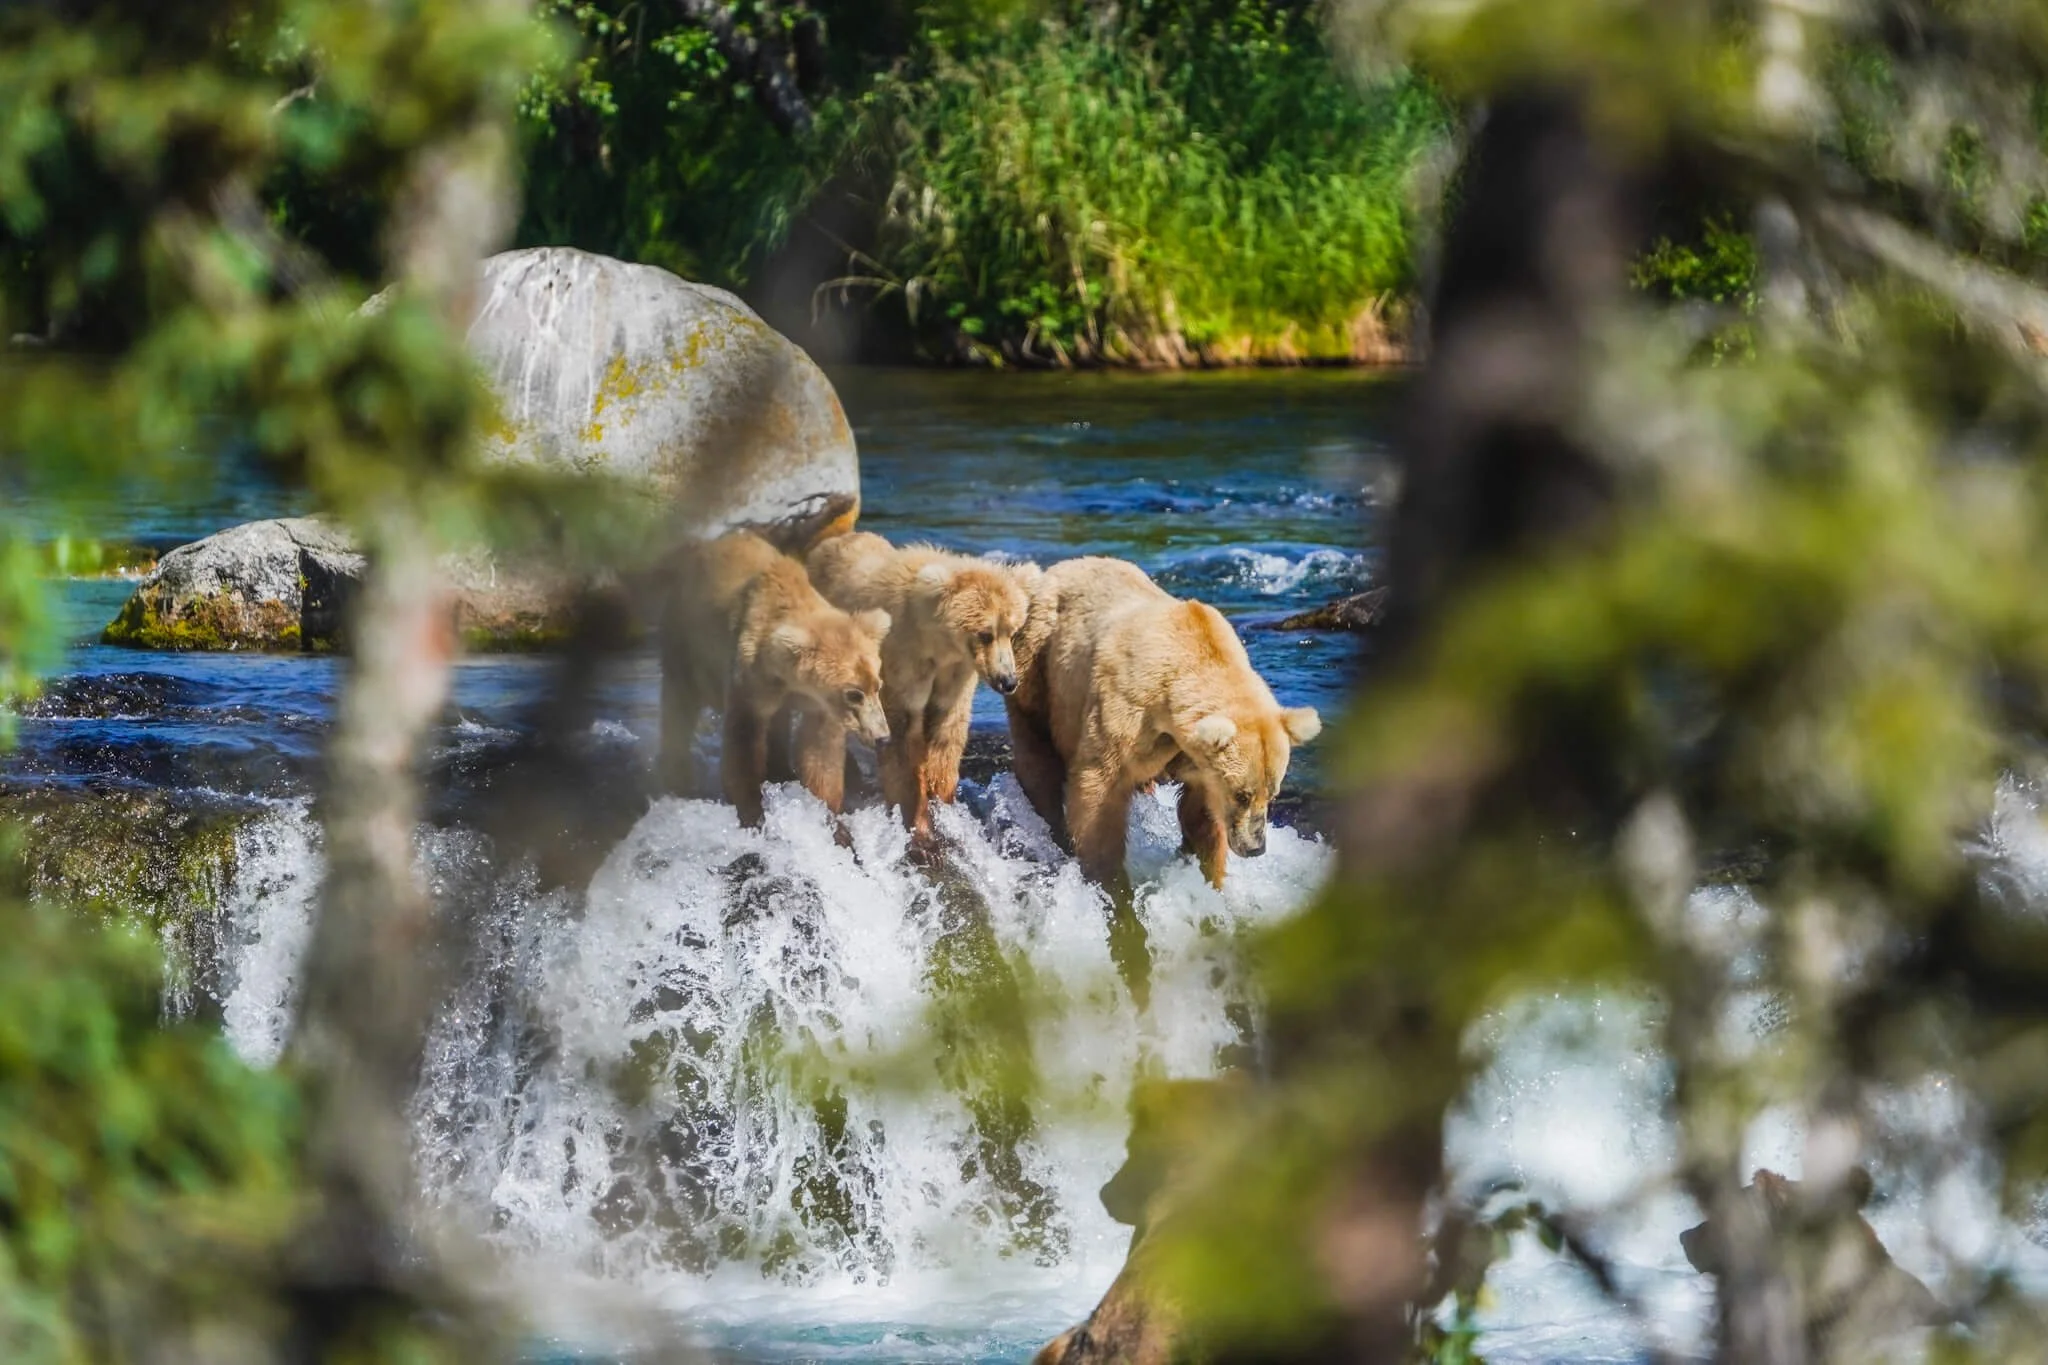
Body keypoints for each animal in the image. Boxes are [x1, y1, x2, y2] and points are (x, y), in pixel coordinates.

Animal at [657, 530, 890, 827]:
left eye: (877, 686)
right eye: (853, 693)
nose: (883, 738)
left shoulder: (816, 705)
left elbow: (820, 754)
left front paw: (827, 809)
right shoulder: (751, 681)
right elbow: (742, 745)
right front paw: (752, 809)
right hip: (686, 639)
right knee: (679, 705)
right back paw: (677, 777)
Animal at [806, 531, 1036, 838]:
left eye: (1012, 630)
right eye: (985, 633)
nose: (1008, 680)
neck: (938, 643)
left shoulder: (956, 671)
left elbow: (946, 728)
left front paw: (943, 803)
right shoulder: (904, 659)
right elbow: (903, 732)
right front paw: (916, 816)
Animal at [1005, 556, 1320, 895]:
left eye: (1272, 794)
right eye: (1242, 795)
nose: (1255, 848)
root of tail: (1055, 568)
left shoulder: (1193, 760)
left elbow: (1201, 817)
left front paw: (1210, 878)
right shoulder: (1126, 714)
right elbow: (1098, 797)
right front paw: (1113, 887)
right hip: (1038, 667)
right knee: (1037, 752)